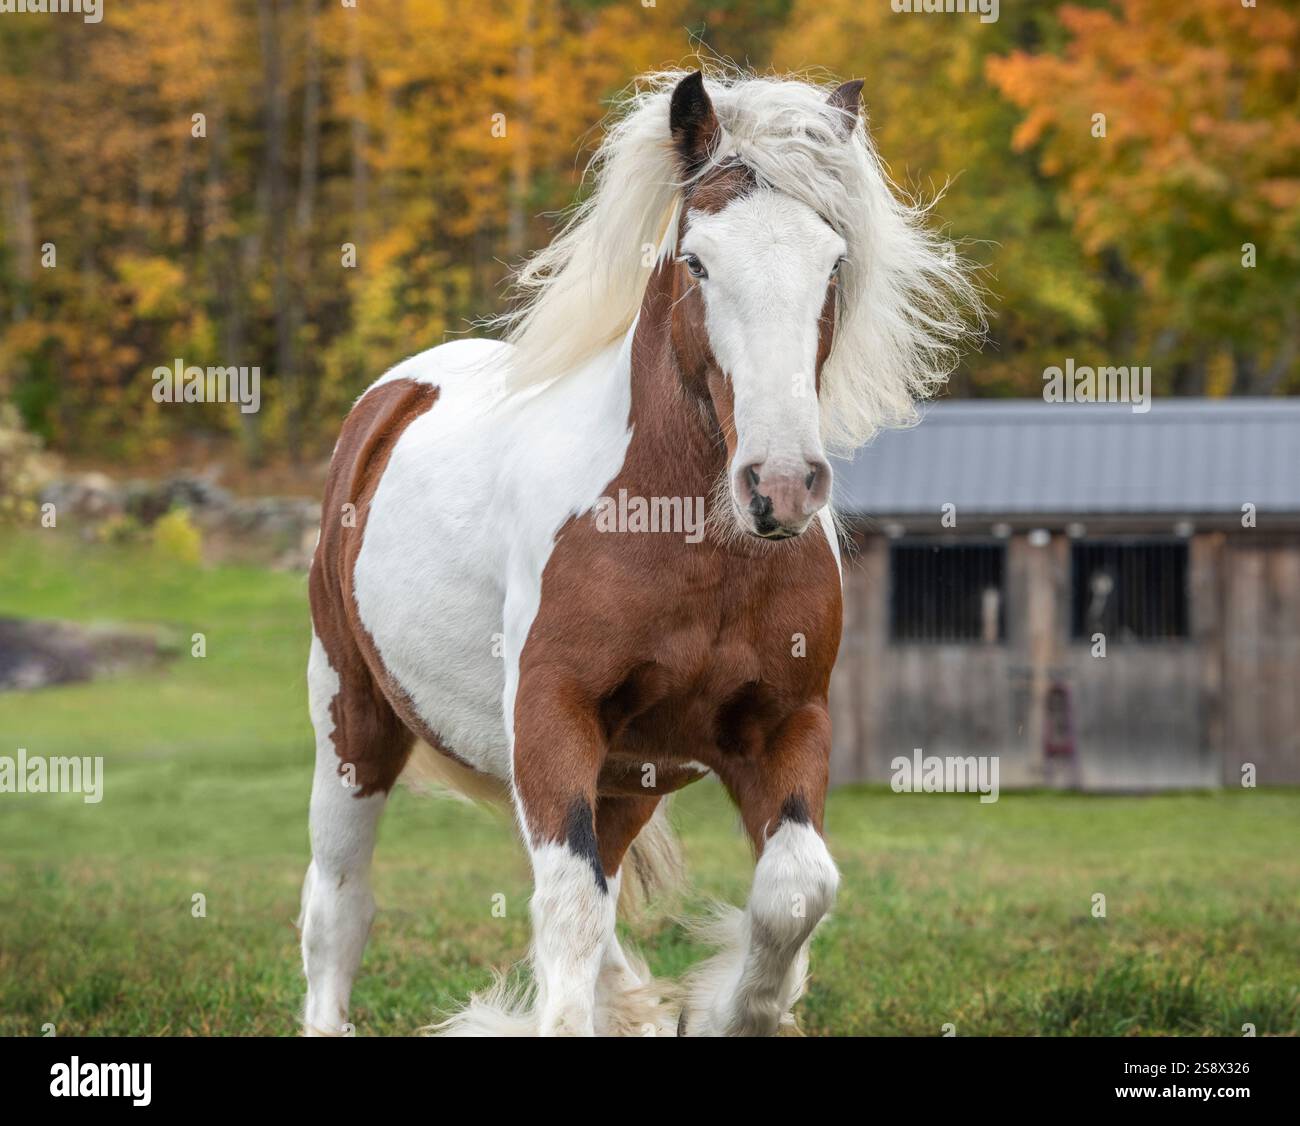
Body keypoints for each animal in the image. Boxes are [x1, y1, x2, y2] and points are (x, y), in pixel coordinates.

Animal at [300, 68, 980, 1037]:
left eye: (832, 262)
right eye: (698, 262)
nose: (780, 486)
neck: (685, 544)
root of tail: (391, 399)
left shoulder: (784, 724)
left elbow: (794, 891)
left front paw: (732, 1009)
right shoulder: (553, 717)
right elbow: (569, 911)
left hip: (623, 783)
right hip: (352, 714)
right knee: (339, 902)